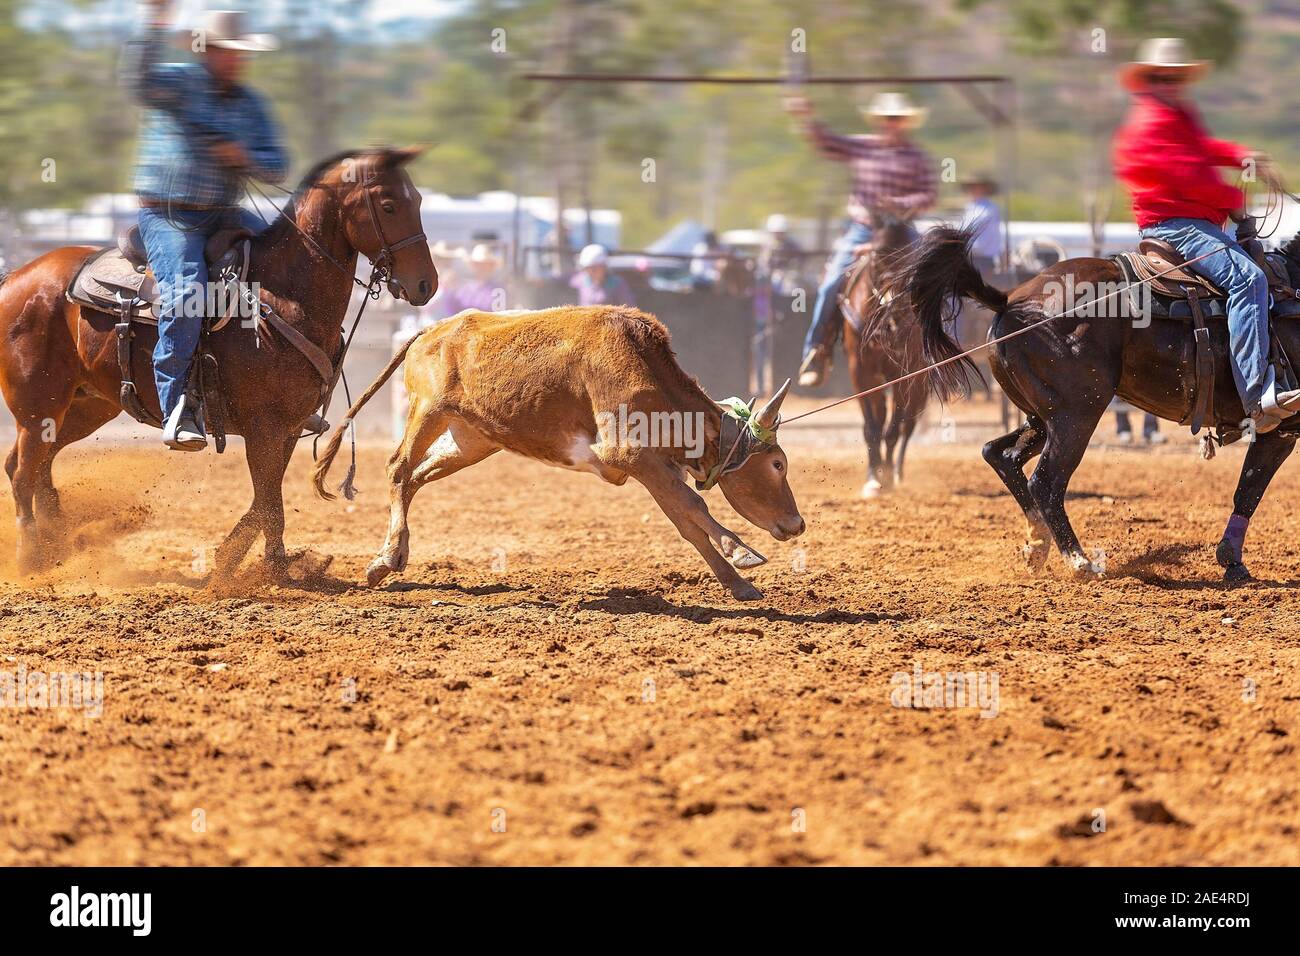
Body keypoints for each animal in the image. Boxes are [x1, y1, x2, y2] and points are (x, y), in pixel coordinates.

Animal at [312, 305, 805, 601]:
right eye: (778, 464)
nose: (797, 524)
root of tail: (432, 329)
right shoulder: (633, 456)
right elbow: (694, 507)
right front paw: (743, 553)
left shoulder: (656, 467)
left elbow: (688, 523)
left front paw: (738, 583)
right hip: (427, 410)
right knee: (398, 469)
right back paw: (387, 557)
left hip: (472, 440)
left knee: (415, 478)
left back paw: (387, 559)